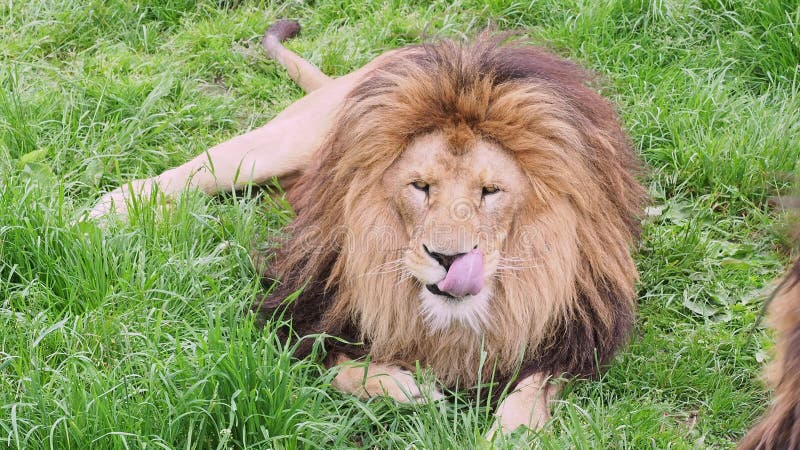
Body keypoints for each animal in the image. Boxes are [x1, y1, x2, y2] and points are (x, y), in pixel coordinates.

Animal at [89, 20, 646, 436]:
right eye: (420, 187)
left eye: (491, 192)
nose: (448, 259)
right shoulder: (297, 313)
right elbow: (337, 366)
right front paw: (412, 390)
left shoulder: (577, 330)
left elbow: (534, 389)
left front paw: (512, 432)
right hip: (275, 147)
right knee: (192, 170)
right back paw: (106, 212)